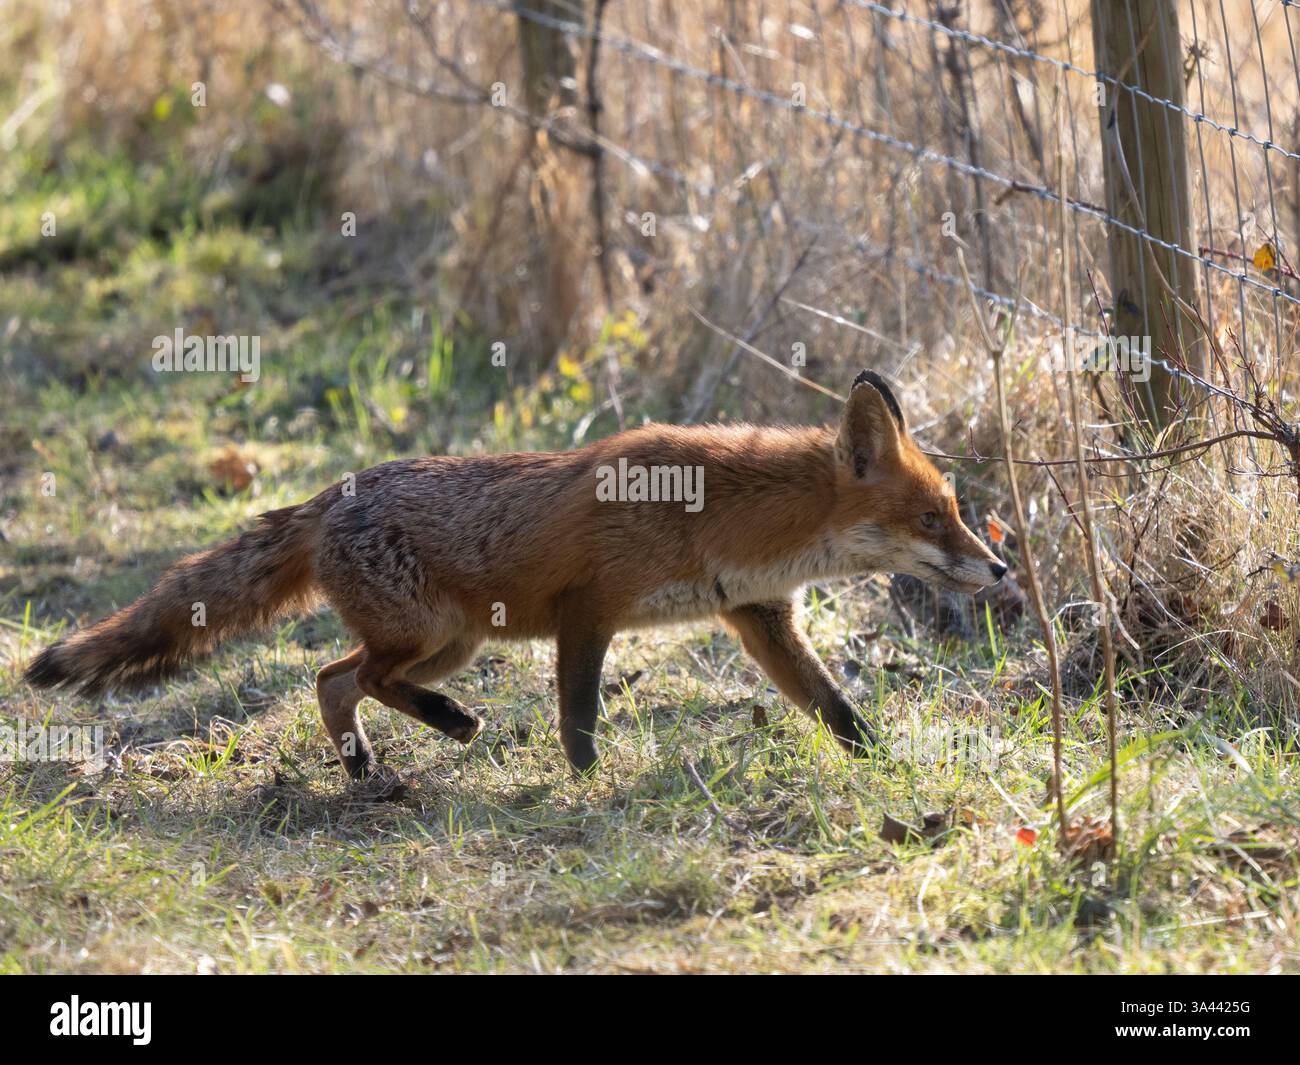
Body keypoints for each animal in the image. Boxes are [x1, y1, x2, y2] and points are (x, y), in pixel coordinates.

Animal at [24, 370, 1005, 781]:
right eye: (933, 518)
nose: (998, 566)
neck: (717, 515)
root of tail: (328, 495)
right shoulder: (589, 609)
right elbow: (579, 715)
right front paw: (586, 783)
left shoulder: (759, 613)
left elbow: (834, 708)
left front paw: (884, 762)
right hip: (432, 636)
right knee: (357, 676)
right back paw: (446, 728)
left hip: (448, 642)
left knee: (332, 678)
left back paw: (368, 766)